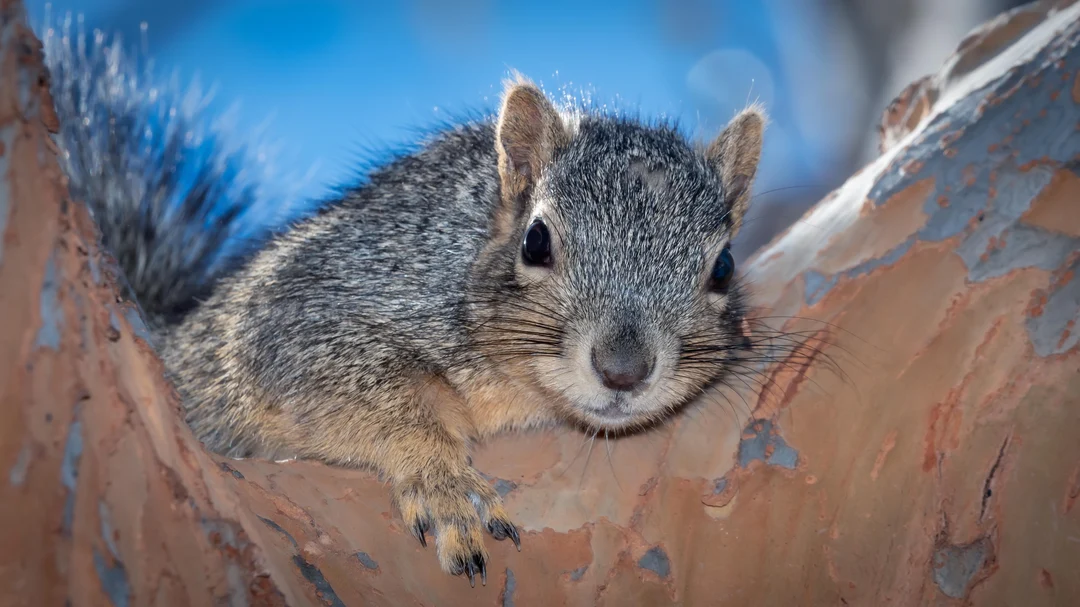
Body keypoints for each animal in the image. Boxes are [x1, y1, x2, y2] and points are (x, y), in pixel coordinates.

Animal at [42, 23, 765, 585]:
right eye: (536, 241)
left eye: (723, 267)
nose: (623, 370)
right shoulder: (307, 306)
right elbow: (367, 389)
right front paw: (443, 480)